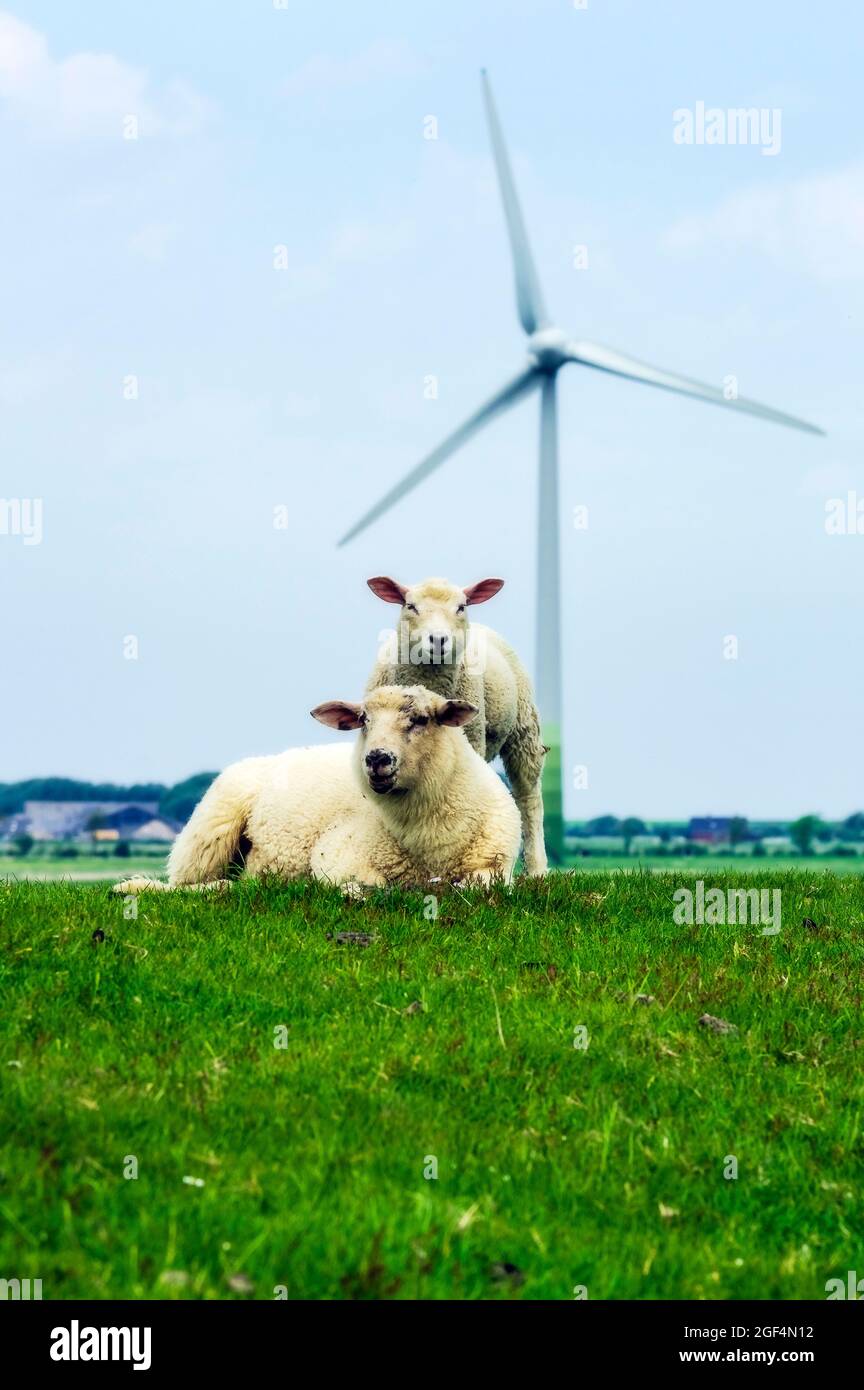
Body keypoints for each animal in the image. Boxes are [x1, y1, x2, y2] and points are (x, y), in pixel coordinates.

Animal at [115, 685, 521, 894]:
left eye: (420, 719)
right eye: (363, 721)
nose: (376, 759)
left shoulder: (495, 868)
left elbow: (473, 886)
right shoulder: (338, 854)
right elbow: (369, 885)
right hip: (206, 837)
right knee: (186, 884)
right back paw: (133, 887)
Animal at [365, 575, 548, 876]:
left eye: (461, 607)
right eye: (410, 606)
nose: (439, 640)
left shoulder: (471, 740)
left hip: (523, 730)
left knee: (528, 797)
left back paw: (537, 869)